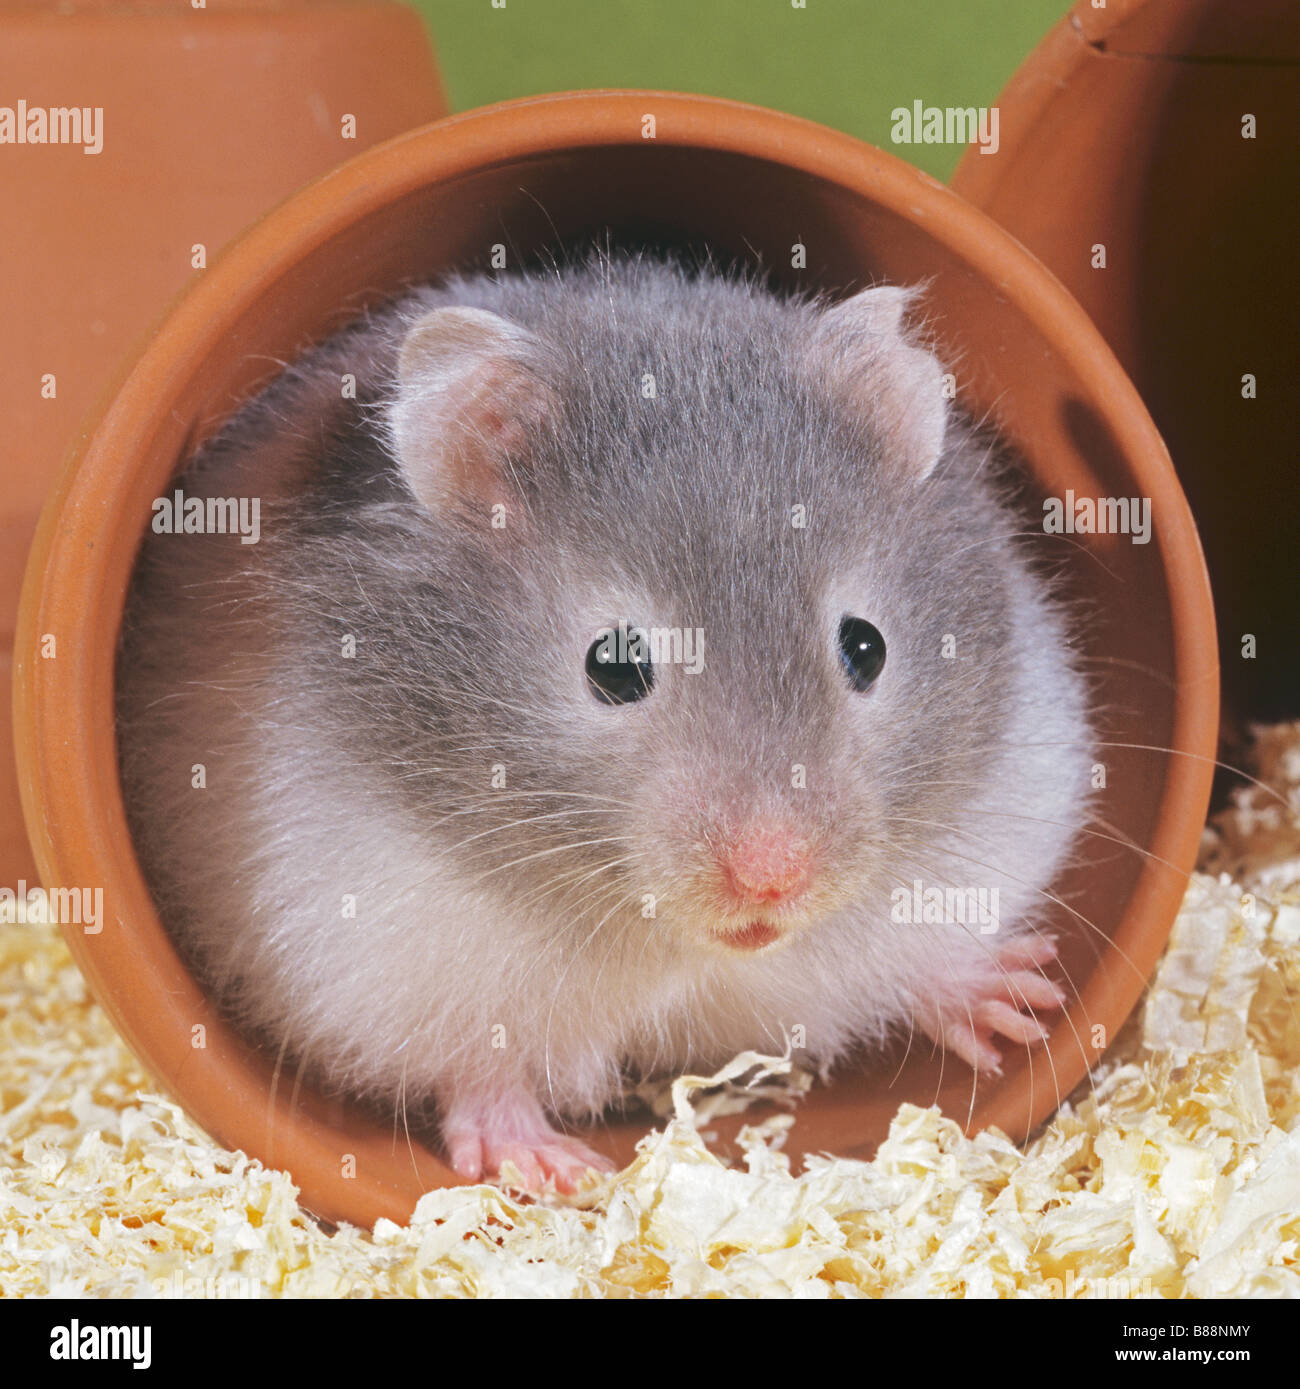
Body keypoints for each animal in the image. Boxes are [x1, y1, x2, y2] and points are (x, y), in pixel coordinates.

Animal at [116, 254, 1094, 1191]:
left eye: (867, 648)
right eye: (614, 664)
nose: (774, 879)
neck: (669, 938)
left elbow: (919, 954)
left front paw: (1027, 999)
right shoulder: (365, 950)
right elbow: (477, 1068)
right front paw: (551, 1170)